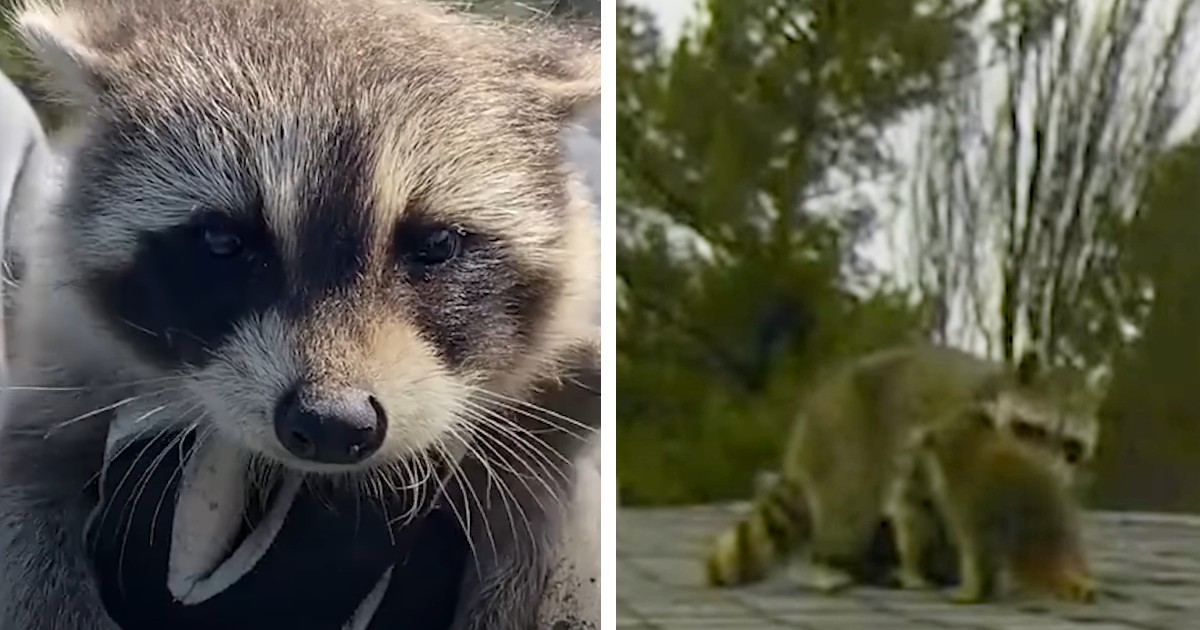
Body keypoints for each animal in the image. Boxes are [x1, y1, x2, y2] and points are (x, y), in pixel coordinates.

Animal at [703, 345, 1102, 592]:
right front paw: (925, 567)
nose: (1045, 468)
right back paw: (826, 563)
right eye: (1032, 429)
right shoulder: (953, 433)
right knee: (850, 507)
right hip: (846, 432)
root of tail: (816, 403)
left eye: (1071, 447)